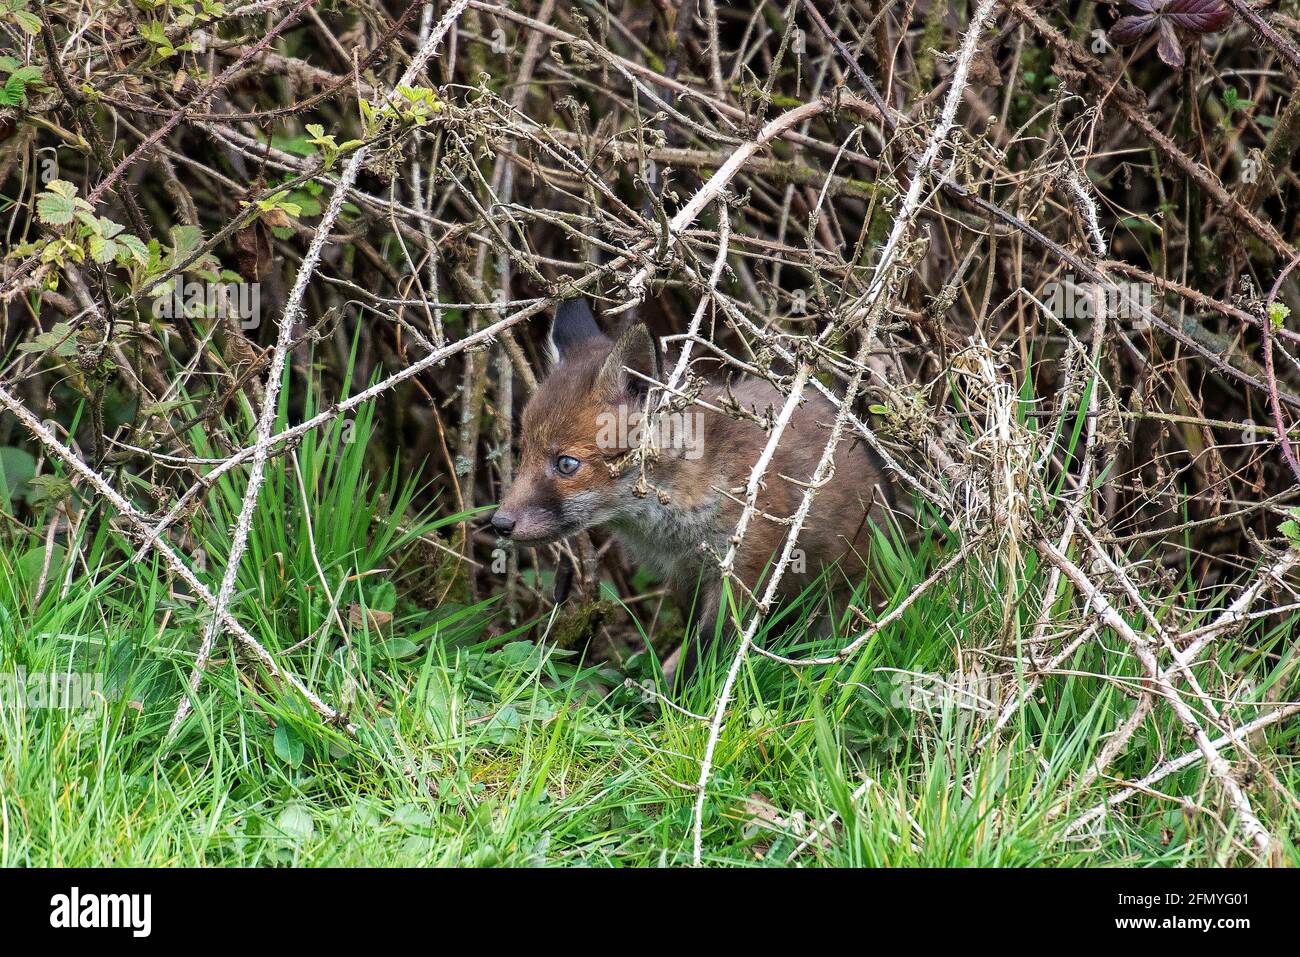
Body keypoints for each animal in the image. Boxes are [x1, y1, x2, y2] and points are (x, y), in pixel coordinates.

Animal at [492, 298, 895, 676]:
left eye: (566, 464)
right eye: (523, 452)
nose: (499, 524)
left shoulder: (744, 570)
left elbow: (705, 656)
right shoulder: (685, 578)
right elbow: (690, 640)